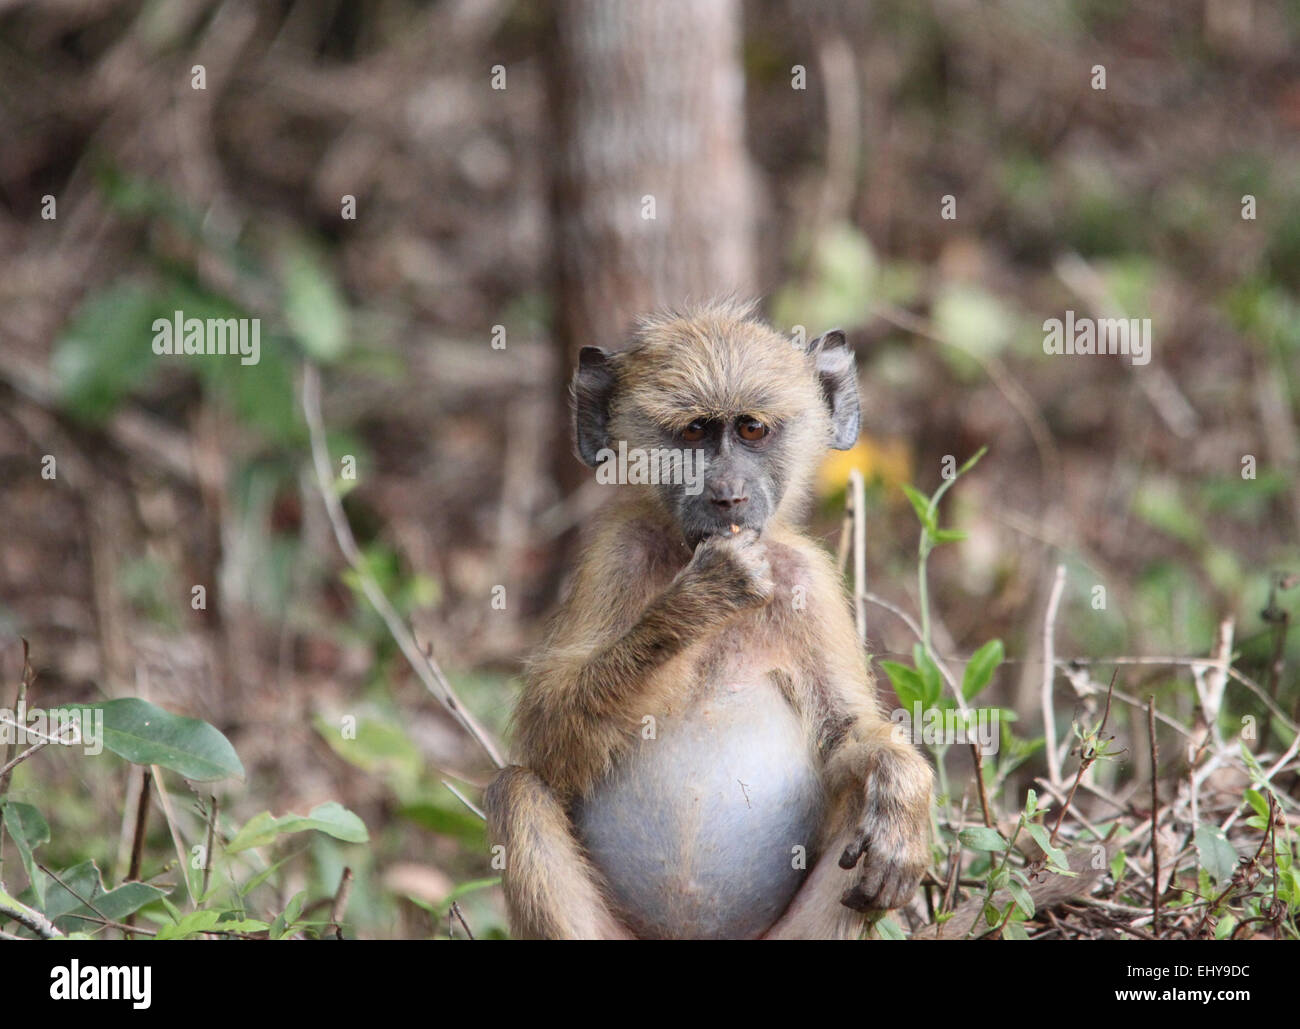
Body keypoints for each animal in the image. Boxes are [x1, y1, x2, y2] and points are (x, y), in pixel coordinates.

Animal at [485, 298, 933, 939]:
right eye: (695, 432)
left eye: (751, 430)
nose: (727, 495)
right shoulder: (615, 555)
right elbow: (548, 736)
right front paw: (703, 596)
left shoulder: (810, 582)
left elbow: (844, 738)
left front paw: (901, 787)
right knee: (517, 791)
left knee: (857, 803)